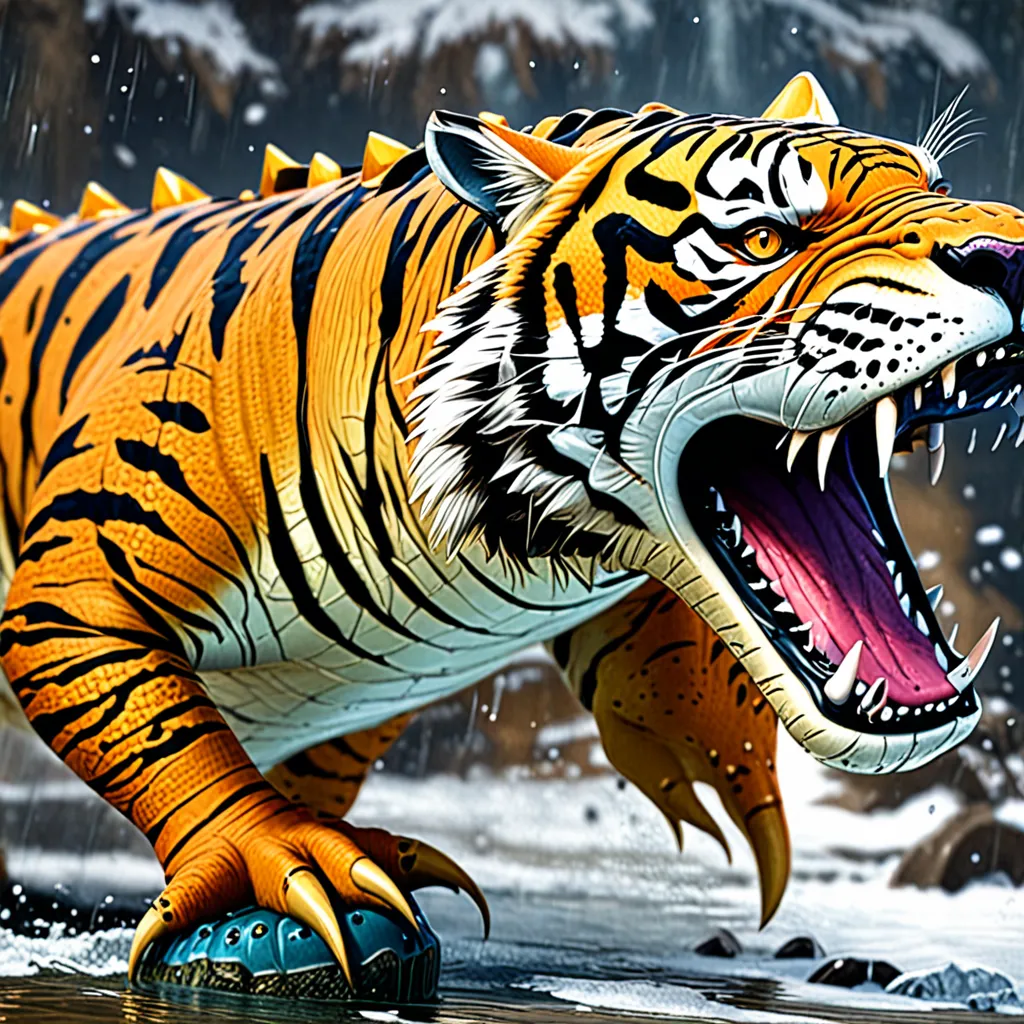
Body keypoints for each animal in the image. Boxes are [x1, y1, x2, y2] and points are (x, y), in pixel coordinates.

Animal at [0, 70, 1020, 991]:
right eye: (762, 237)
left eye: (931, 182)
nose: (1010, 254)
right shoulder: (72, 586)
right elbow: (170, 739)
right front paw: (292, 856)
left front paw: (731, 773)